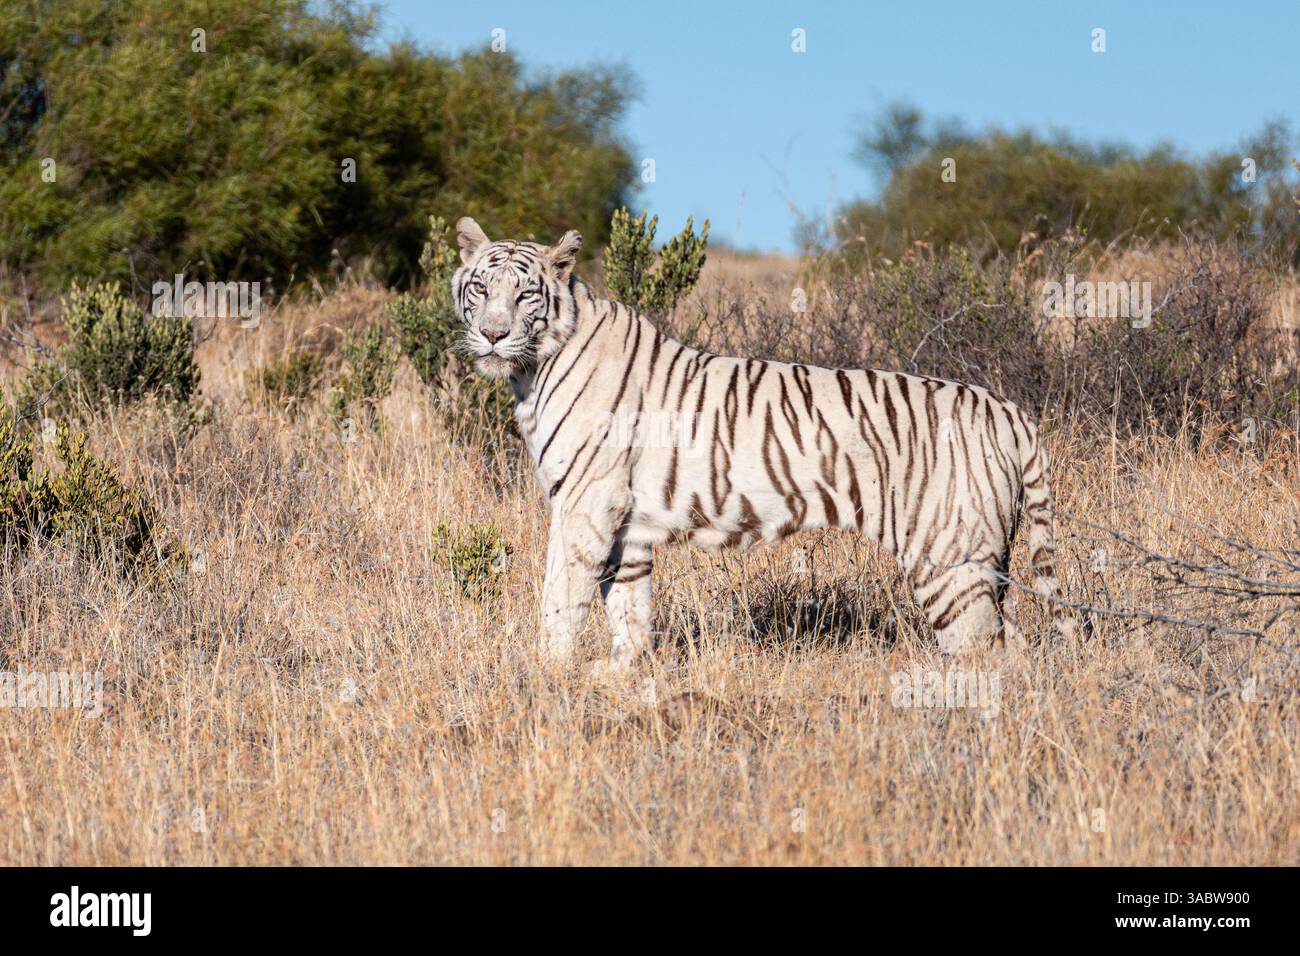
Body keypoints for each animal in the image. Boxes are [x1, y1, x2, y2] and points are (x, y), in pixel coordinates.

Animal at [452, 216, 1077, 669]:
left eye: (526, 296)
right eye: (480, 287)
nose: (492, 334)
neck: (531, 370)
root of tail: (1007, 409)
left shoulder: (586, 501)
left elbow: (560, 593)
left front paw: (546, 674)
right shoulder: (627, 523)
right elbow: (627, 607)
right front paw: (625, 676)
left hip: (949, 559)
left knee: (985, 651)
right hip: (990, 560)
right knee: (1016, 644)